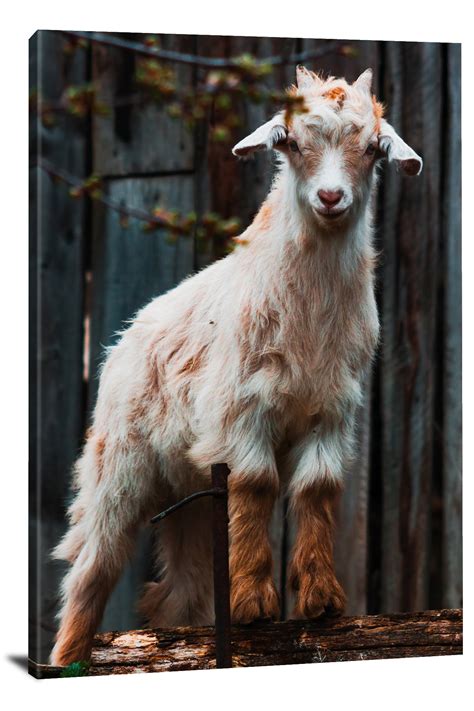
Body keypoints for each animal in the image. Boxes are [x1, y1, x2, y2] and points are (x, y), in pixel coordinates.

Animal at [51, 65, 422, 666]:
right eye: (290, 142)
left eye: (371, 148)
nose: (331, 197)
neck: (308, 320)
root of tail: (122, 341)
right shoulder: (241, 409)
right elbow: (257, 483)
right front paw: (253, 604)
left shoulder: (332, 412)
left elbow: (316, 489)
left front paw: (322, 601)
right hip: (117, 466)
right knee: (91, 570)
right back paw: (69, 660)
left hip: (191, 494)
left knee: (180, 590)